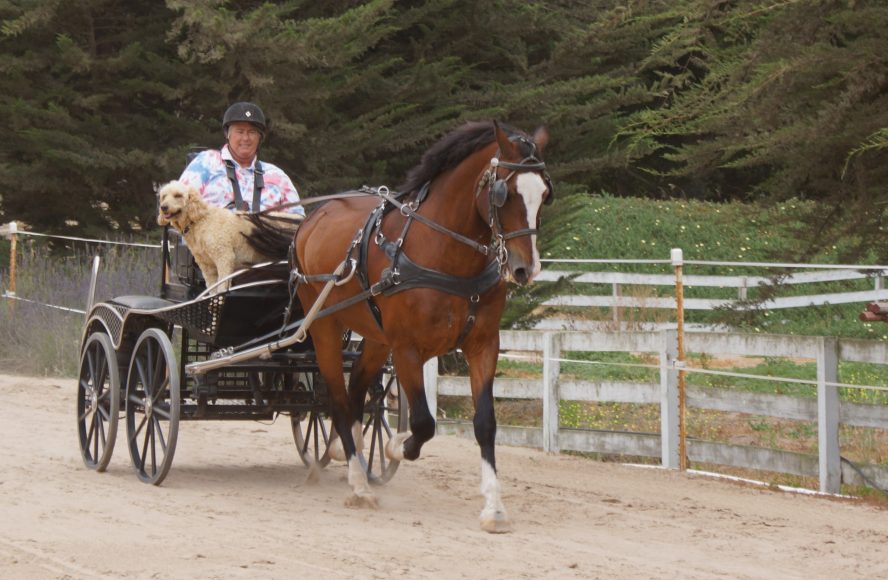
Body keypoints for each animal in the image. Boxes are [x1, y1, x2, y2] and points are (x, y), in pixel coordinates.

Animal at [293, 121, 553, 532]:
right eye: (505, 193)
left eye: (544, 193)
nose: (526, 268)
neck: (446, 255)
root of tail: (314, 216)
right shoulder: (407, 350)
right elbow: (423, 423)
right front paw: (395, 446)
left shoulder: (483, 345)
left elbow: (485, 423)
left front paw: (493, 507)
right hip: (325, 329)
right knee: (336, 398)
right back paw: (358, 482)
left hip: (375, 338)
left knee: (355, 393)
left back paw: (347, 454)